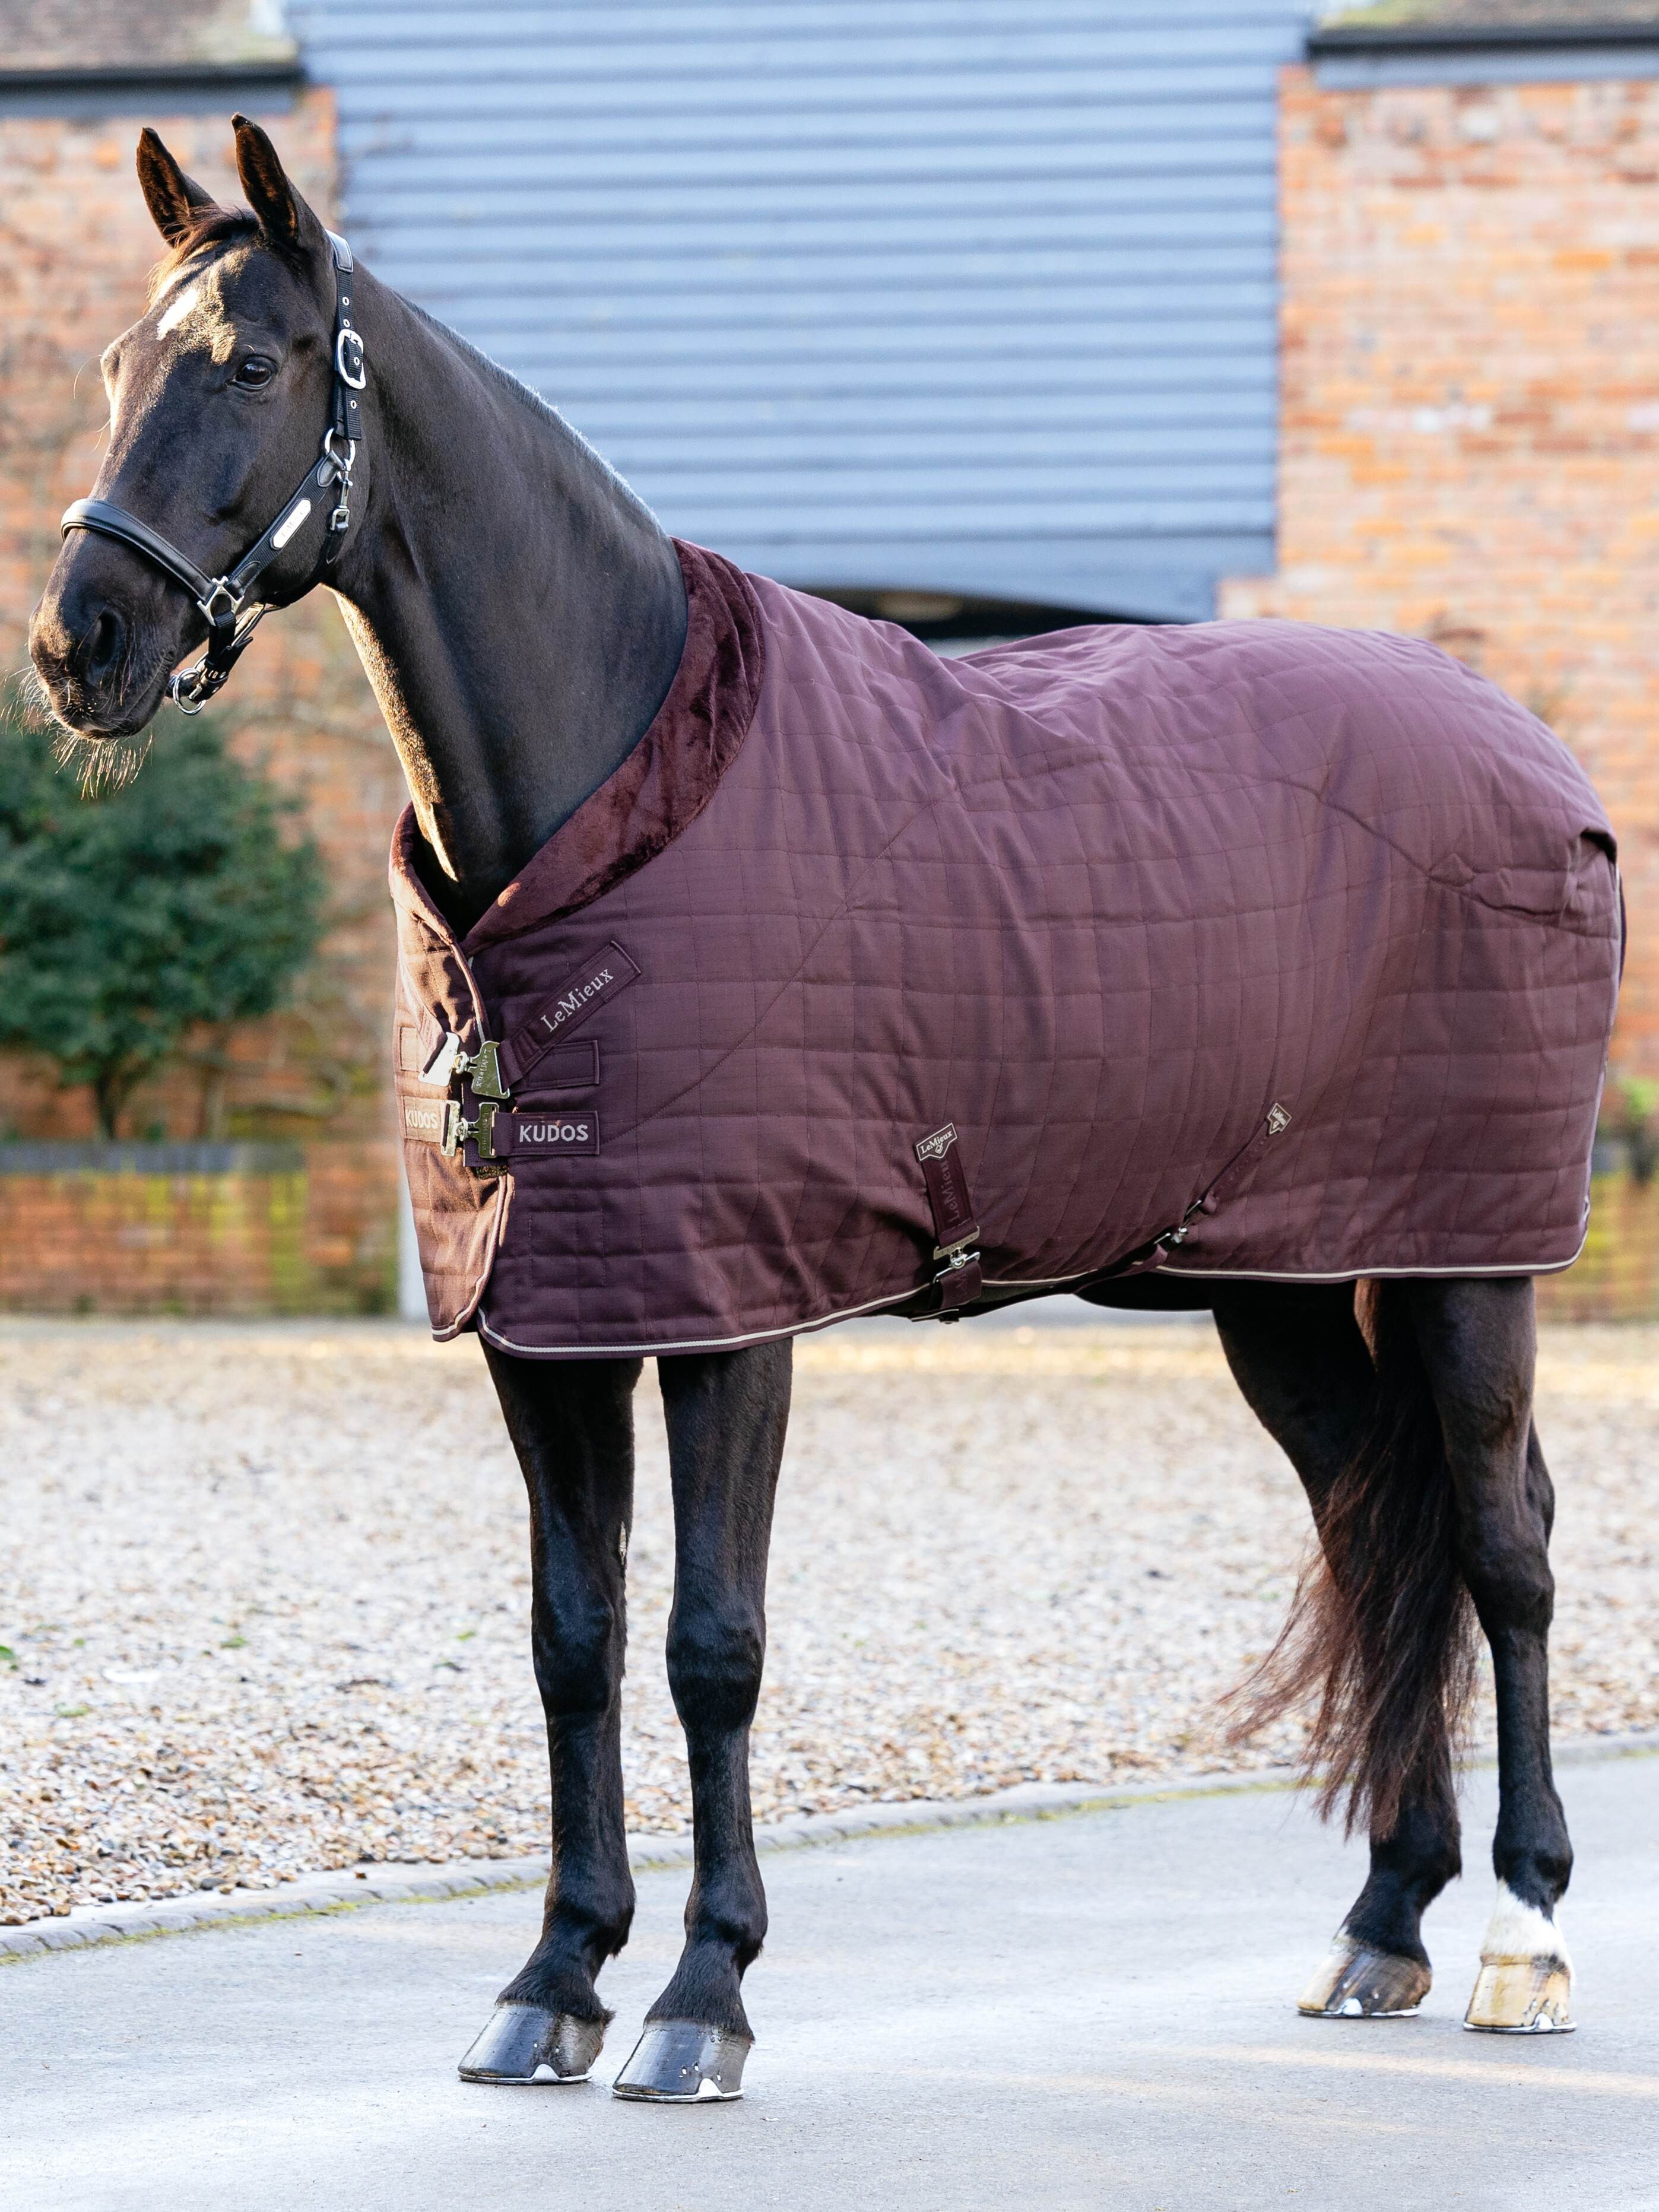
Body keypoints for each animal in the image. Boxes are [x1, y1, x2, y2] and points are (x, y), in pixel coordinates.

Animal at [28, 118, 1617, 2100]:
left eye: (246, 364)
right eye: (111, 366)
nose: (77, 642)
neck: (617, 784)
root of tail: (1530, 751)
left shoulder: (730, 1310)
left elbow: (713, 1640)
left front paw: (700, 1995)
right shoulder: (545, 1323)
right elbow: (571, 1639)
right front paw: (554, 1975)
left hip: (1464, 1260)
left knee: (1502, 1549)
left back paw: (1521, 1932)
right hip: (1277, 1288)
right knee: (1369, 1528)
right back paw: (1380, 1921)